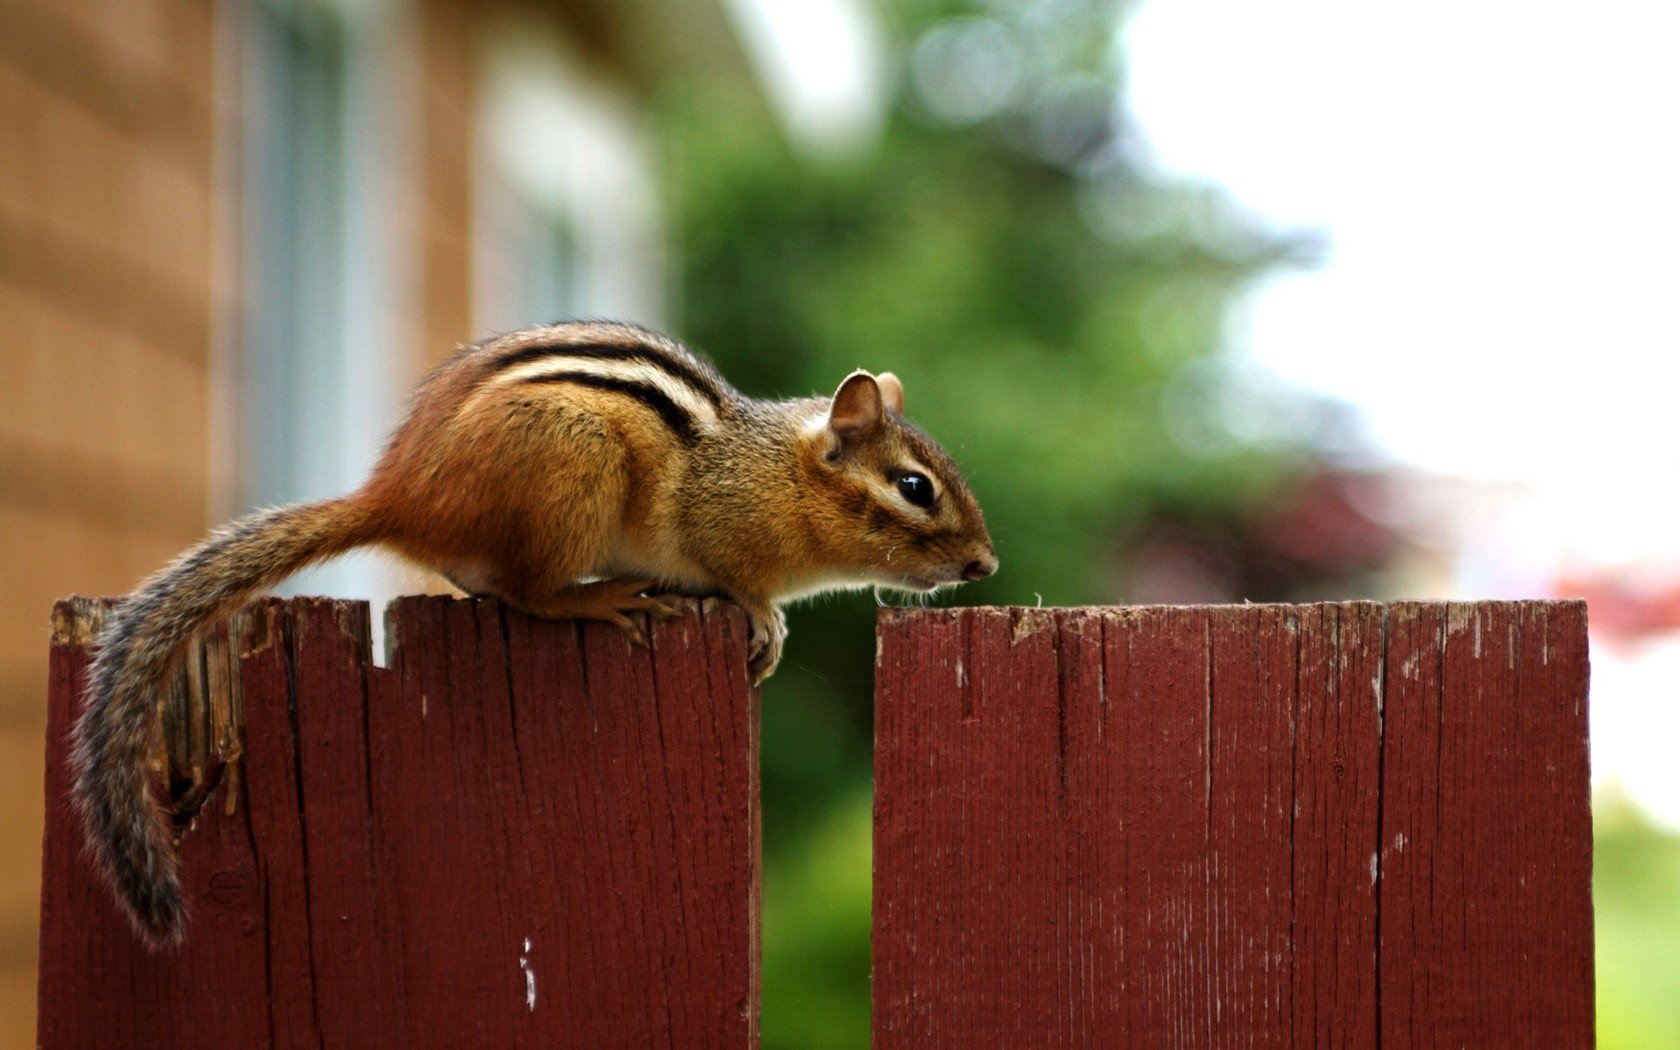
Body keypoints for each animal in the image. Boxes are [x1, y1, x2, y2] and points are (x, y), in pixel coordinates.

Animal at [71, 319, 997, 948]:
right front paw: (767, 624)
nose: (985, 564)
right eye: (915, 487)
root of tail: (399, 496)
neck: (775, 474)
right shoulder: (719, 536)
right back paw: (602, 599)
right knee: (527, 594)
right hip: (571, 471)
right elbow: (739, 585)